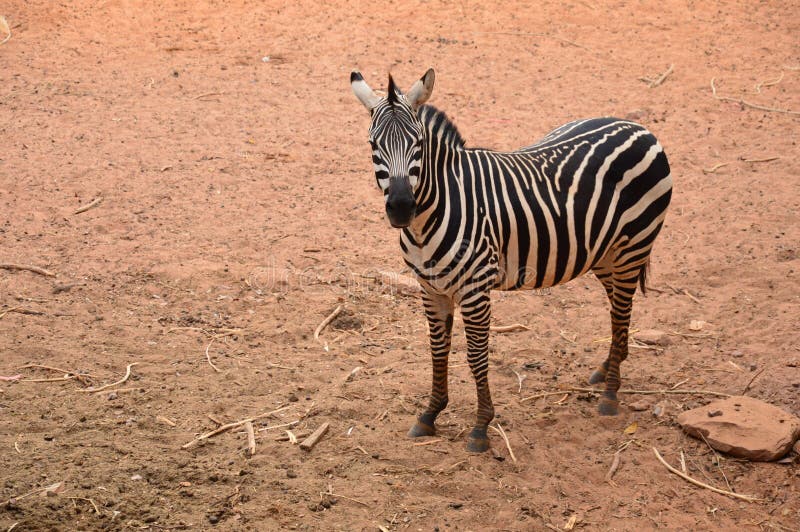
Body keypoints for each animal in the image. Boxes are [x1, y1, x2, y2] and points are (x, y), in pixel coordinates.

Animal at [350, 68, 672, 453]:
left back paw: (610, 395)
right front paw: (429, 415)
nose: (400, 207)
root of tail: (638, 127)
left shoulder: (475, 290)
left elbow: (476, 356)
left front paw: (480, 427)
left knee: (621, 312)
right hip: (605, 253)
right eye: (373, 145)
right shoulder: (430, 288)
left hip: (633, 245)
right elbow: (437, 350)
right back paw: (608, 366)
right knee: (617, 312)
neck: (429, 216)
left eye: (419, 145)